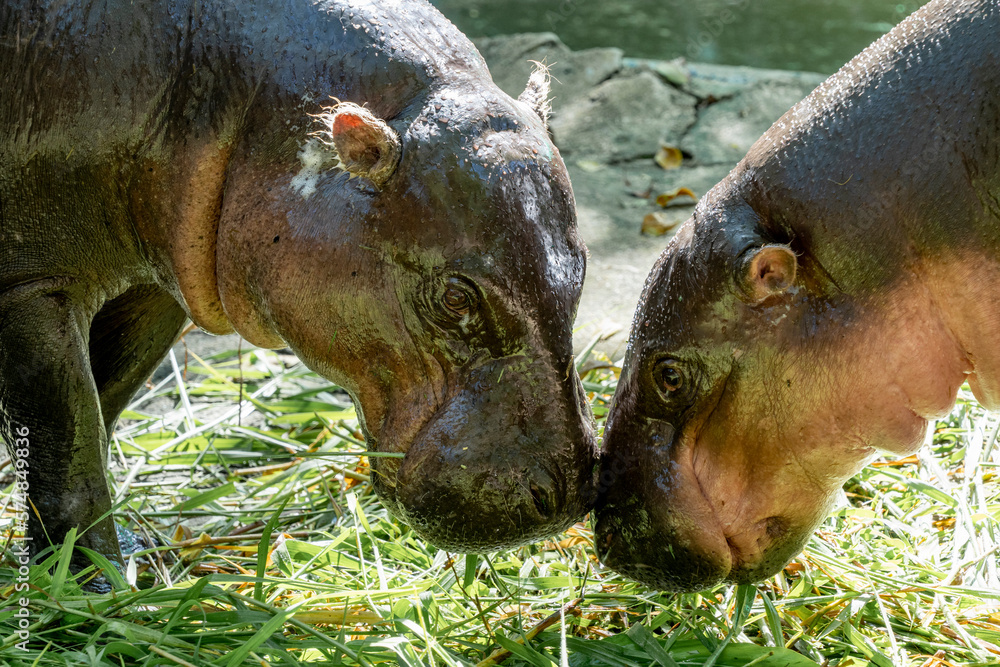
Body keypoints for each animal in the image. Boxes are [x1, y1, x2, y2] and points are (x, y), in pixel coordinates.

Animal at [0, 0, 598, 577]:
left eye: (582, 266)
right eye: (456, 296)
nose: (568, 495)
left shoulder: (156, 285)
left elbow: (102, 410)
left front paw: (122, 561)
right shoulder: (29, 287)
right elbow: (69, 451)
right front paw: (97, 587)